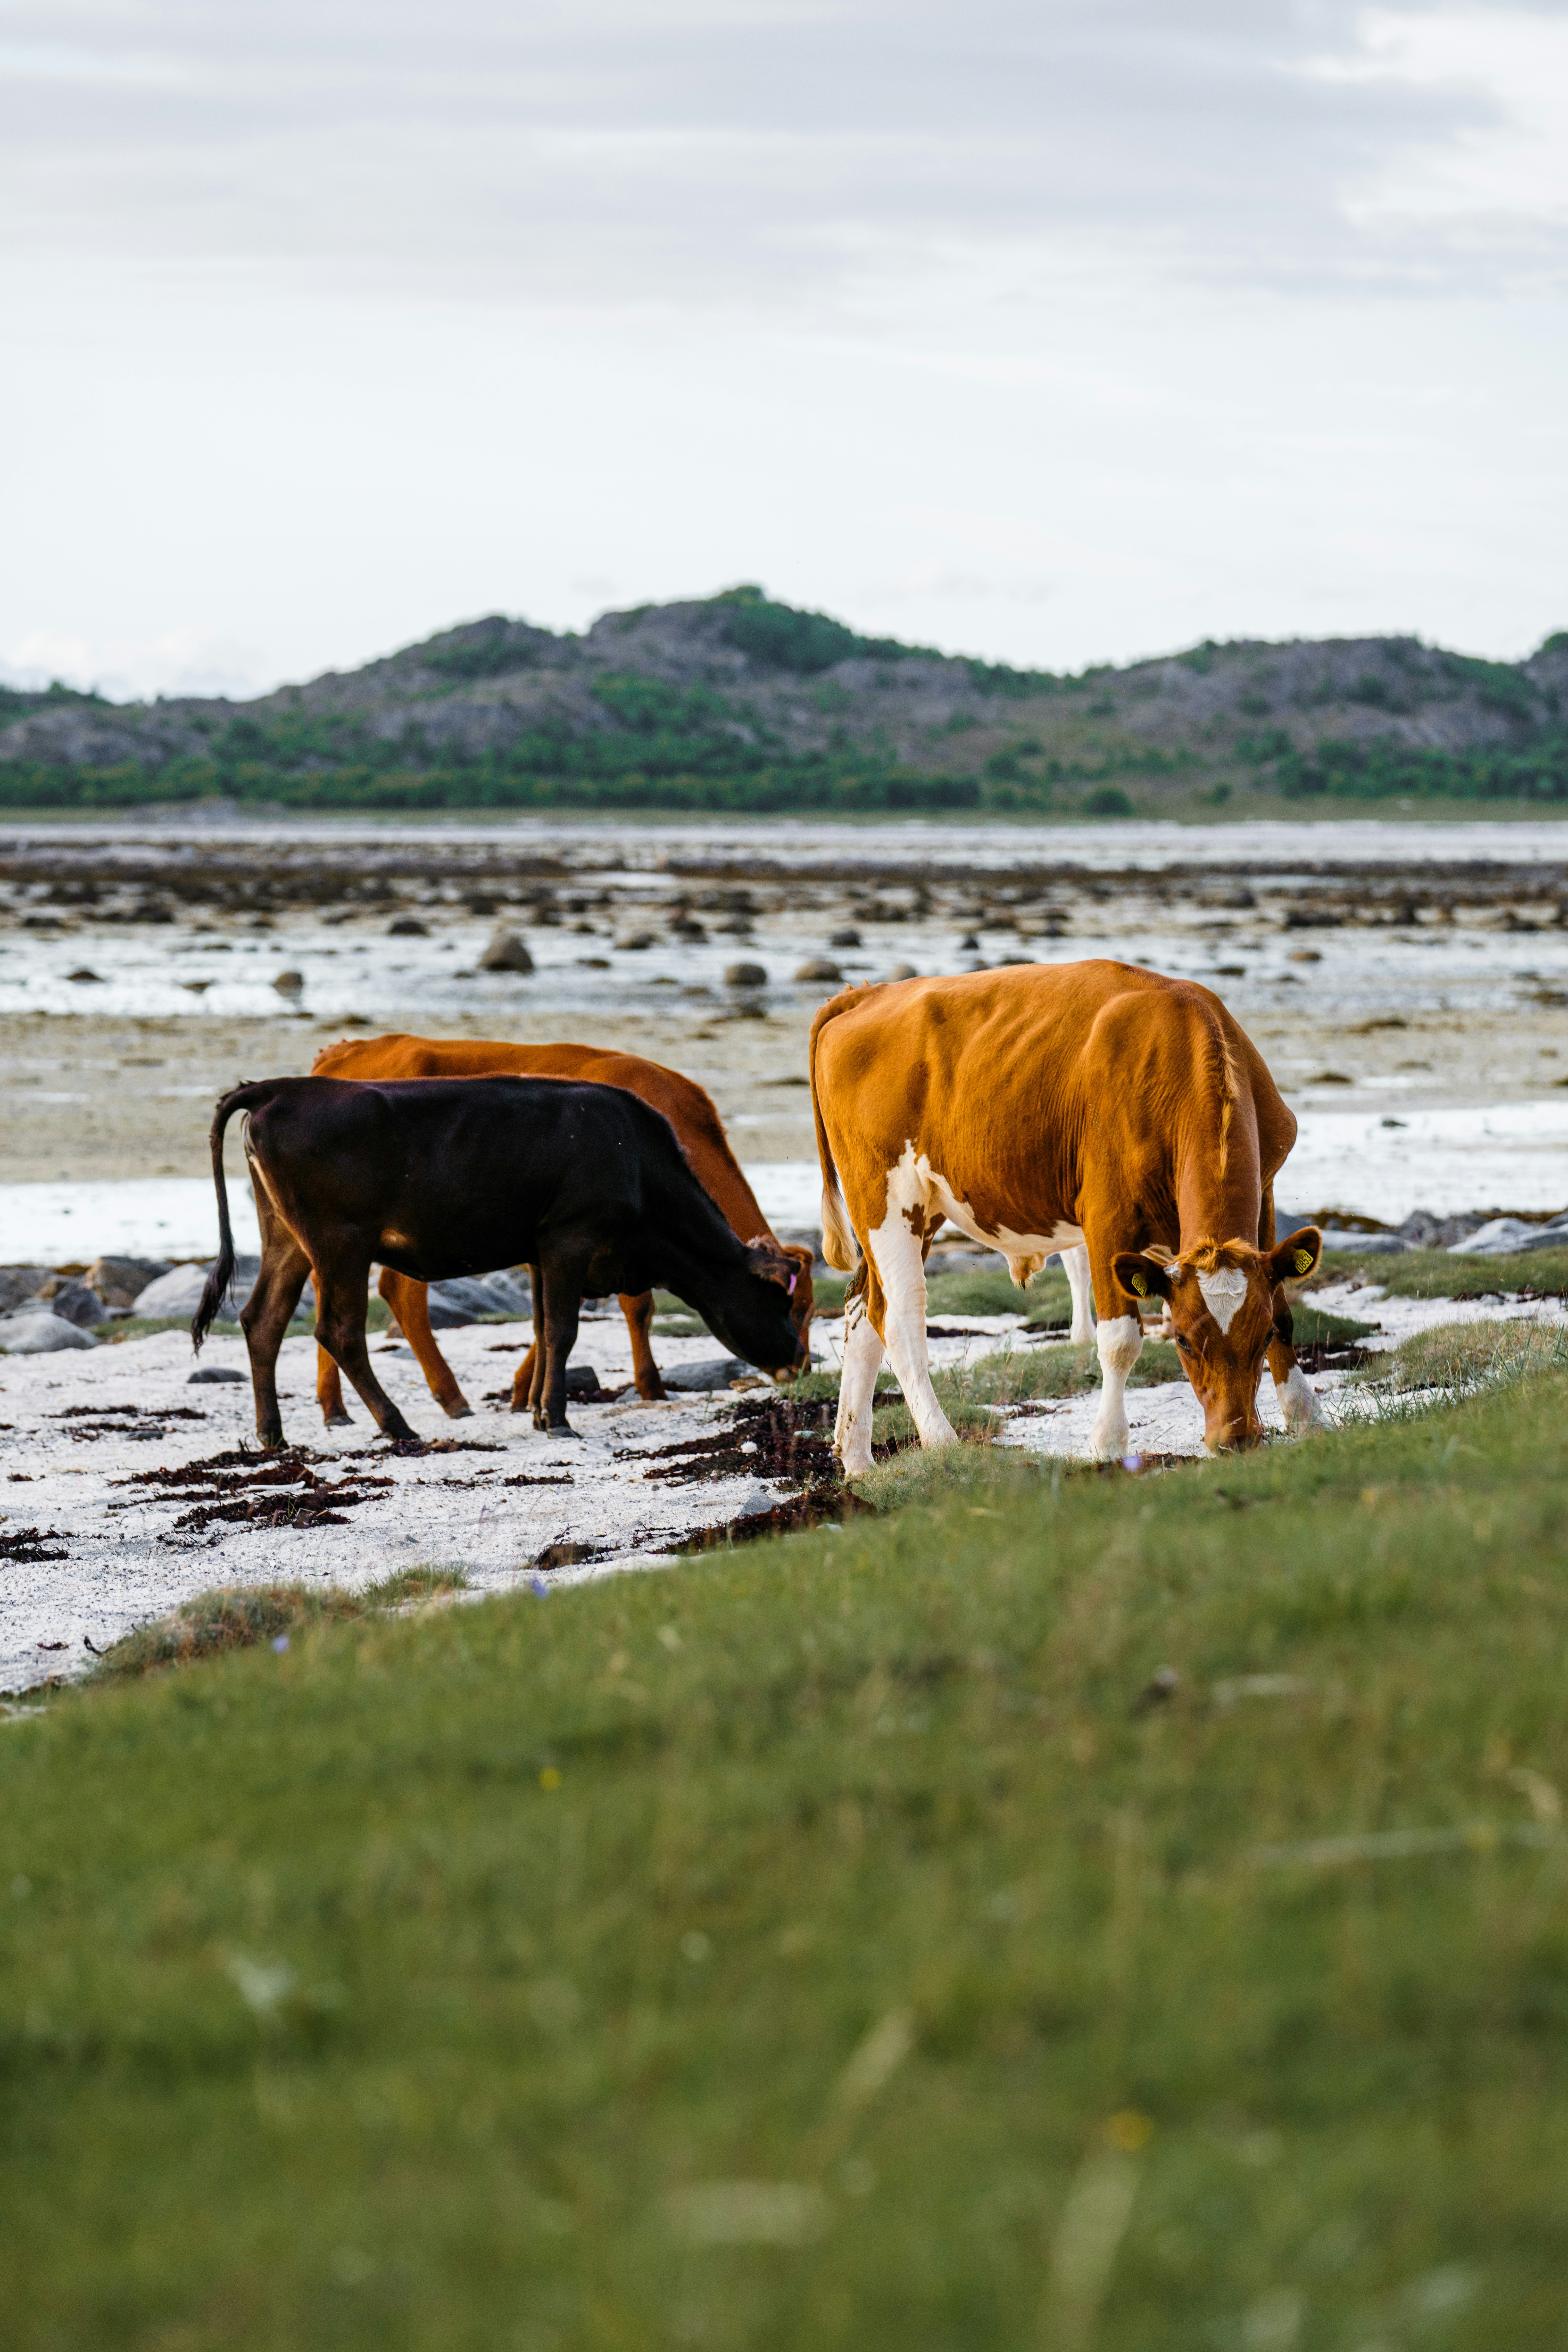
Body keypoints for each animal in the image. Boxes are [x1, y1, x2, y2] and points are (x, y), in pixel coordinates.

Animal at [192, 1075, 809, 1448]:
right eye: (779, 1301)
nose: (800, 1362)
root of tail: (282, 1088)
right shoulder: (569, 1238)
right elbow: (561, 1330)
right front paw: (557, 1419)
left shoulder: (538, 1252)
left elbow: (539, 1326)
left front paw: (537, 1410)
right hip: (340, 1242)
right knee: (339, 1331)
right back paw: (398, 1426)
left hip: (288, 1239)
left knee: (264, 1320)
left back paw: (273, 1435)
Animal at [308, 1034, 815, 1424]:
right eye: (789, 1308)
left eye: (809, 1309)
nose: (804, 1367)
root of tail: (347, 1048)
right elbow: (633, 1308)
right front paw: (649, 1386)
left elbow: (547, 1320)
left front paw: (525, 1394)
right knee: (394, 1294)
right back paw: (441, 1397)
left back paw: (339, 1405)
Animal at [808, 962, 1324, 1473]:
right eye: (1181, 1340)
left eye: (1260, 1336)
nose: (1235, 1439)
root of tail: (868, 995)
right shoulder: (1106, 1215)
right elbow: (1119, 1339)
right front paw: (1108, 1442)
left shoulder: (1265, 1197)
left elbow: (1283, 1309)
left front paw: (1305, 1416)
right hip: (885, 1197)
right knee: (899, 1318)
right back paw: (941, 1441)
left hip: (922, 1206)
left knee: (862, 1309)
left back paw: (856, 1457)